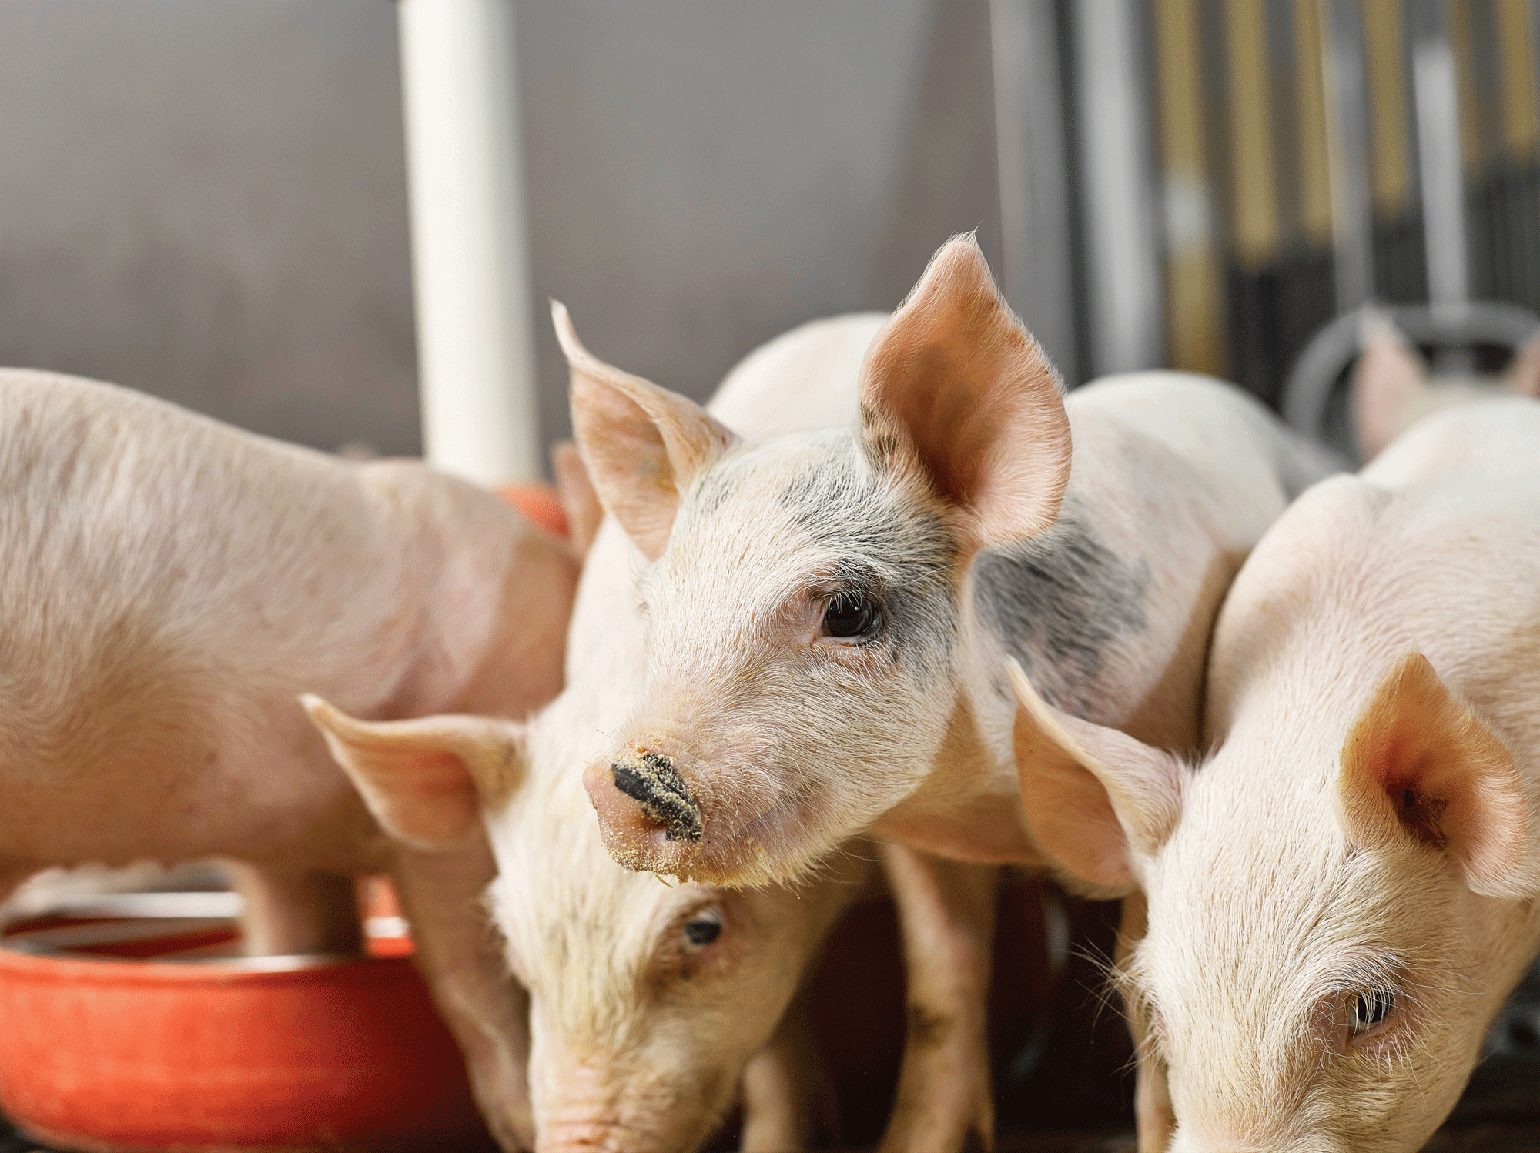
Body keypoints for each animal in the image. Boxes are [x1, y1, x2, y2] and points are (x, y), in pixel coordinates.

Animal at [557, 235, 1333, 1144]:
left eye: (847, 609)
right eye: (655, 607)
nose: (629, 777)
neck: (990, 805)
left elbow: (1148, 1017)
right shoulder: (919, 847)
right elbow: (940, 993)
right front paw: (912, 1140)